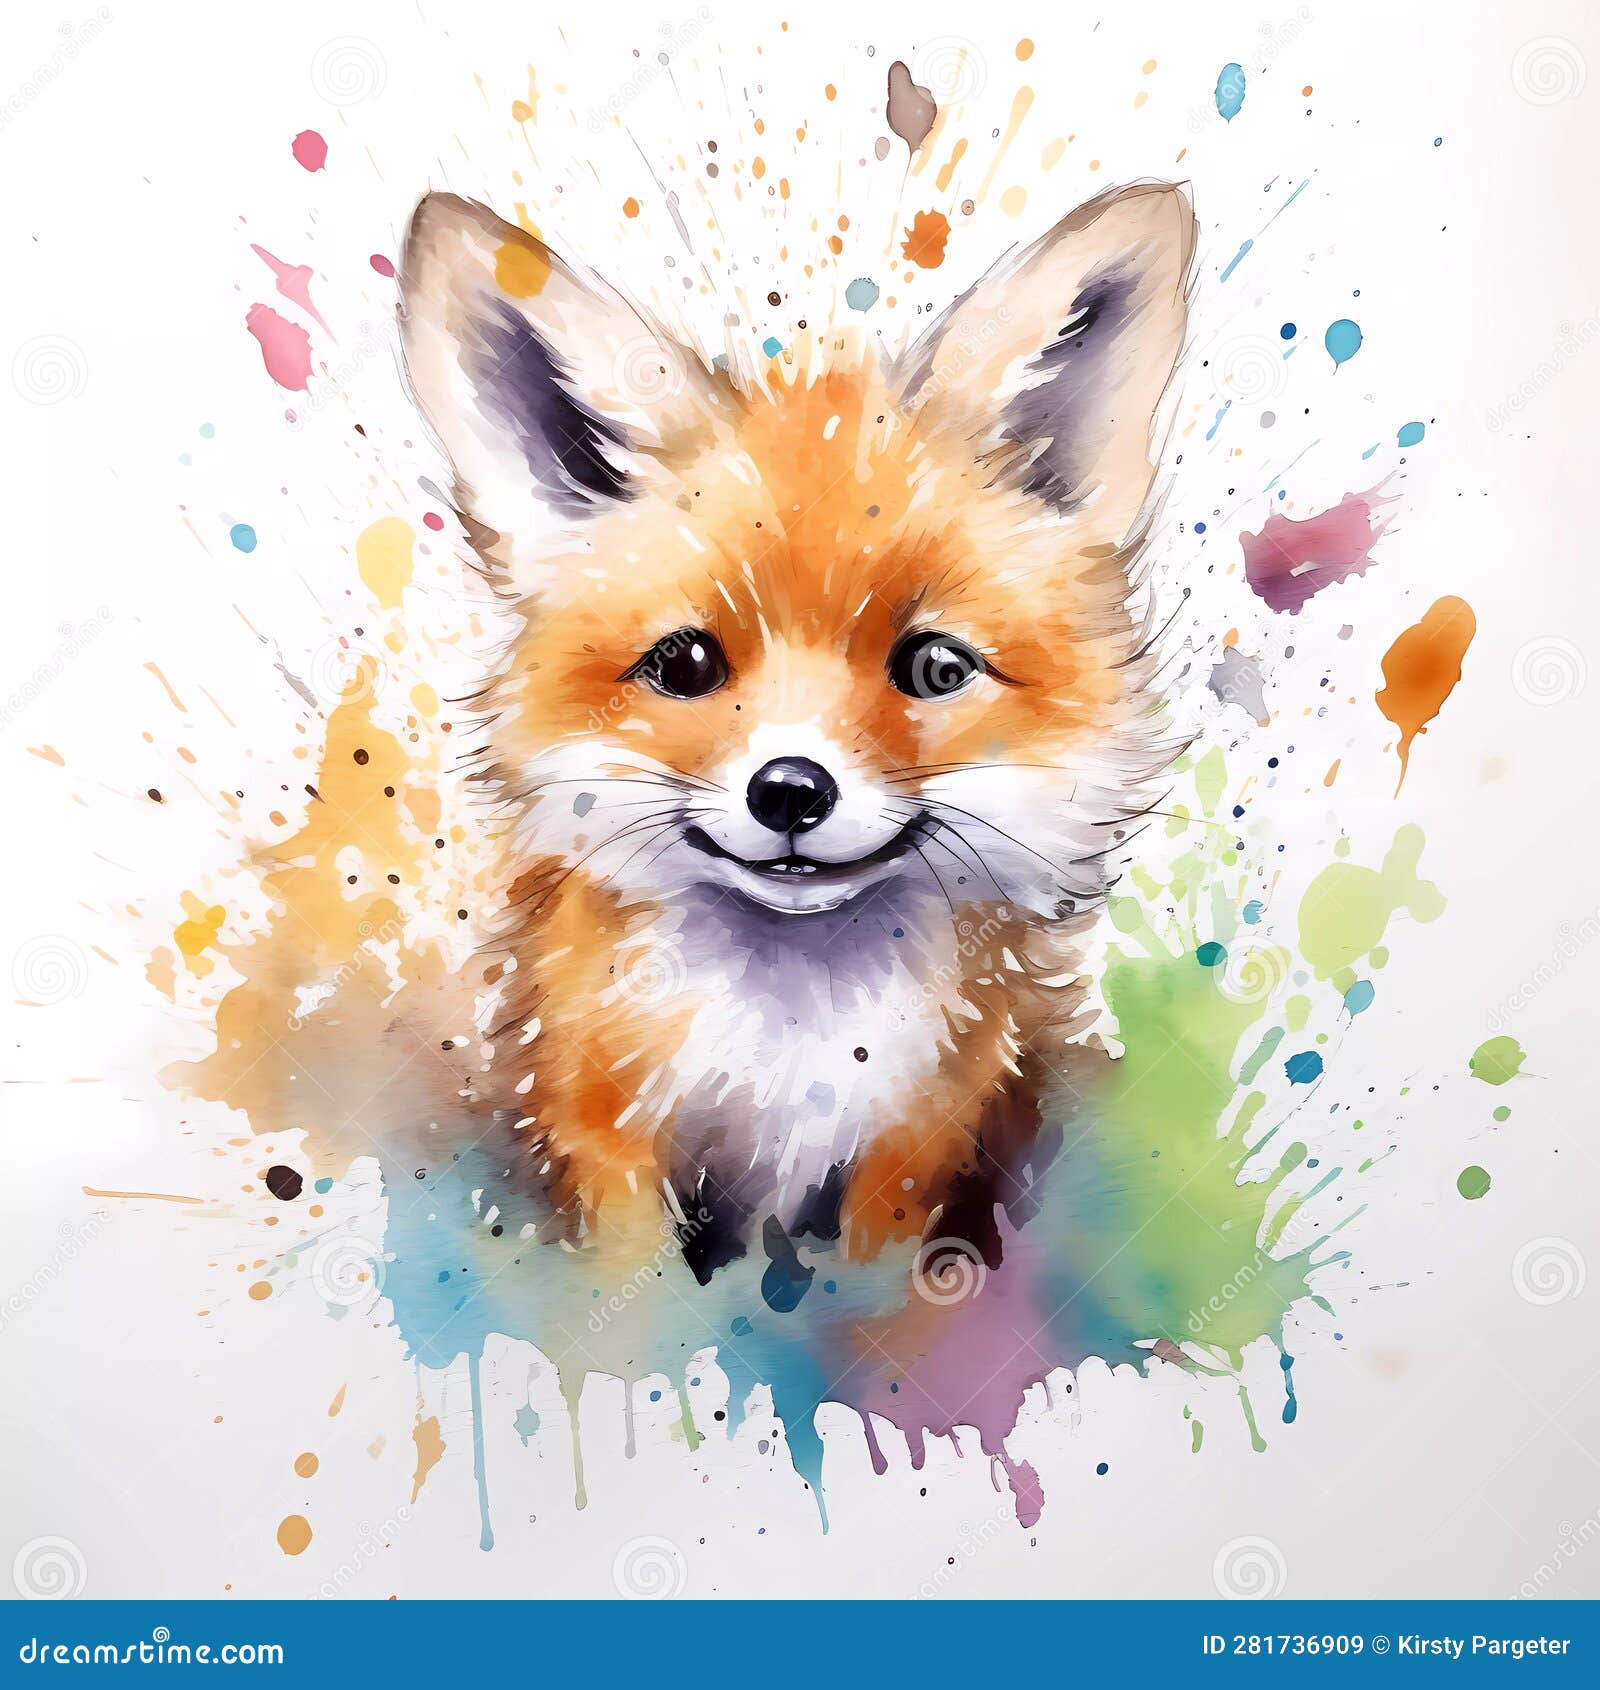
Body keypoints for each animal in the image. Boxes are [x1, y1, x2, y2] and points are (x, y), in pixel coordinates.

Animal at [398, 180, 1196, 1279]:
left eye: (935, 668)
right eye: (685, 664)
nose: (788, 789)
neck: (791, 1049)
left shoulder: (919, 1146)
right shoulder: (606, 1135)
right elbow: (630, 1289)